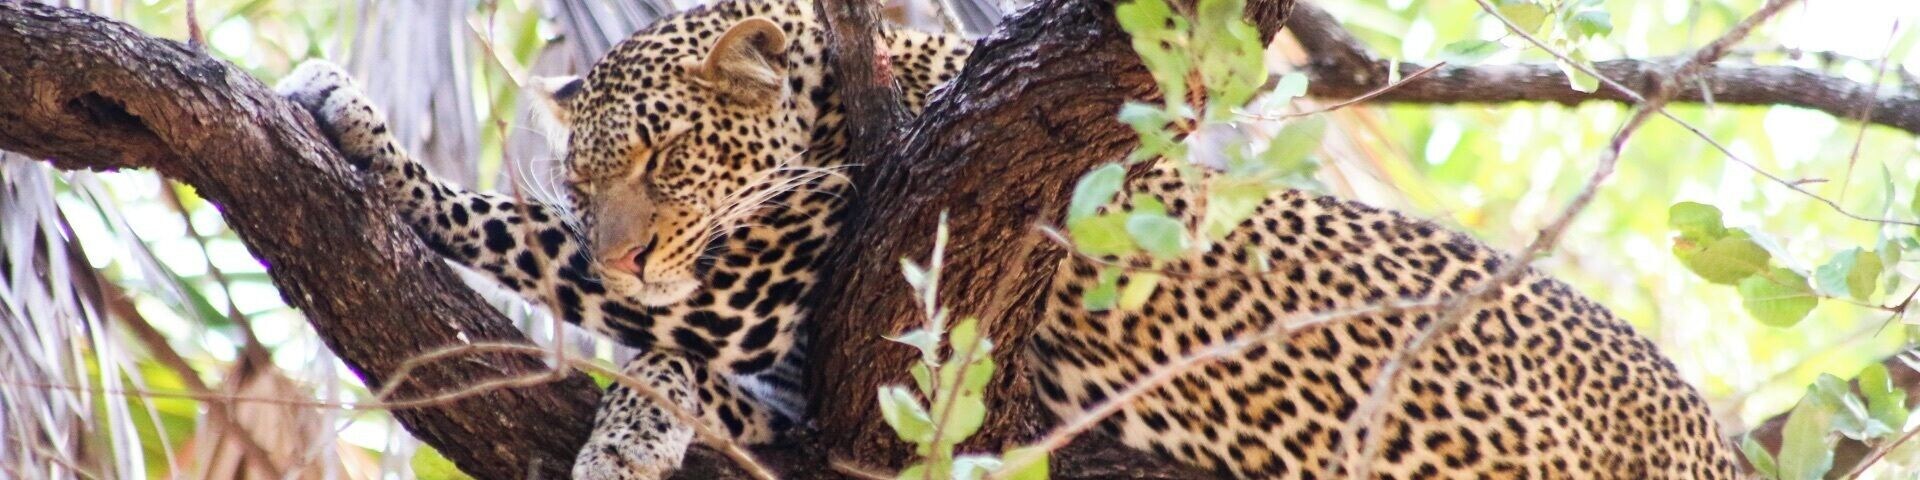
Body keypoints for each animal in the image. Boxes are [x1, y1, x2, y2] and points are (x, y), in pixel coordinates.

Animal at [274, 0, 1741, 477]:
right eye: (588, 181)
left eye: (660, 162)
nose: (631, 247)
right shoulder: (820, 386)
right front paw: (639, 424)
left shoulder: (788, 289)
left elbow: (505, 235)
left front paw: (350, 120)